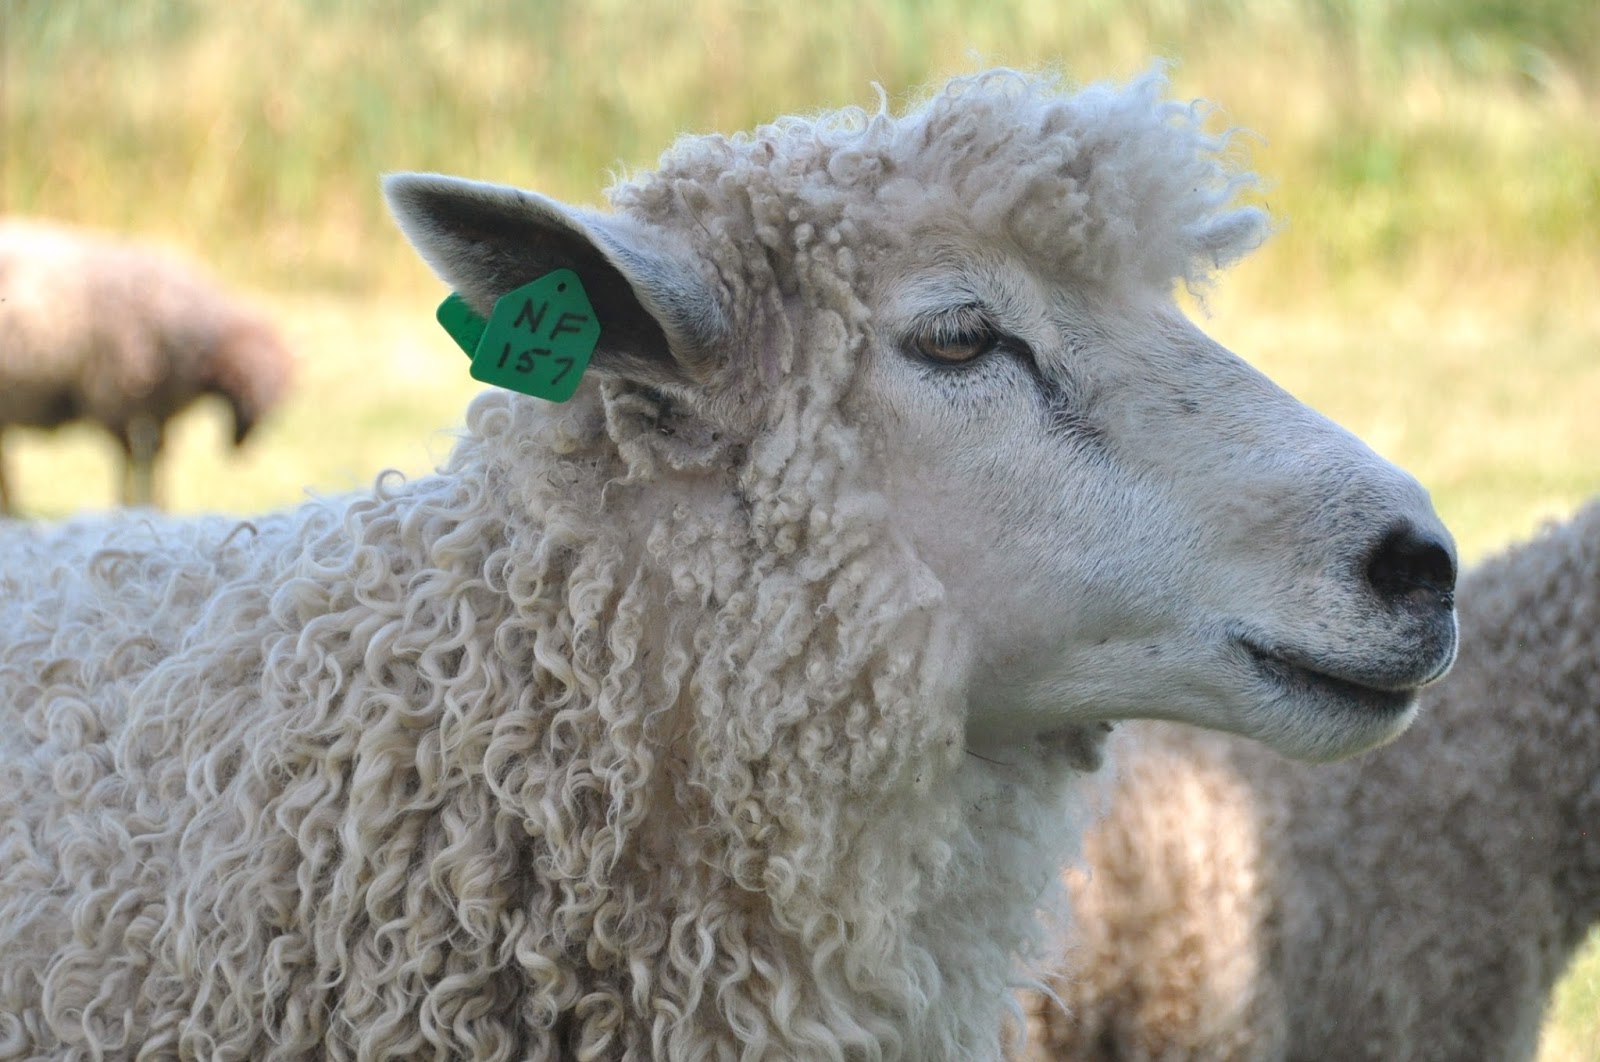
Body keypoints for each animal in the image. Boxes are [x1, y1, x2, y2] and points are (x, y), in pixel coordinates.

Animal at [0, 220, 293, 514]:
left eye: (277, 407)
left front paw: (160, 506)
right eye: (249, 391)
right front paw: (128, 506)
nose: (241, 449)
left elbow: (158, 459)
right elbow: (131, 459)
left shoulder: (156, 410)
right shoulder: (118, 403)